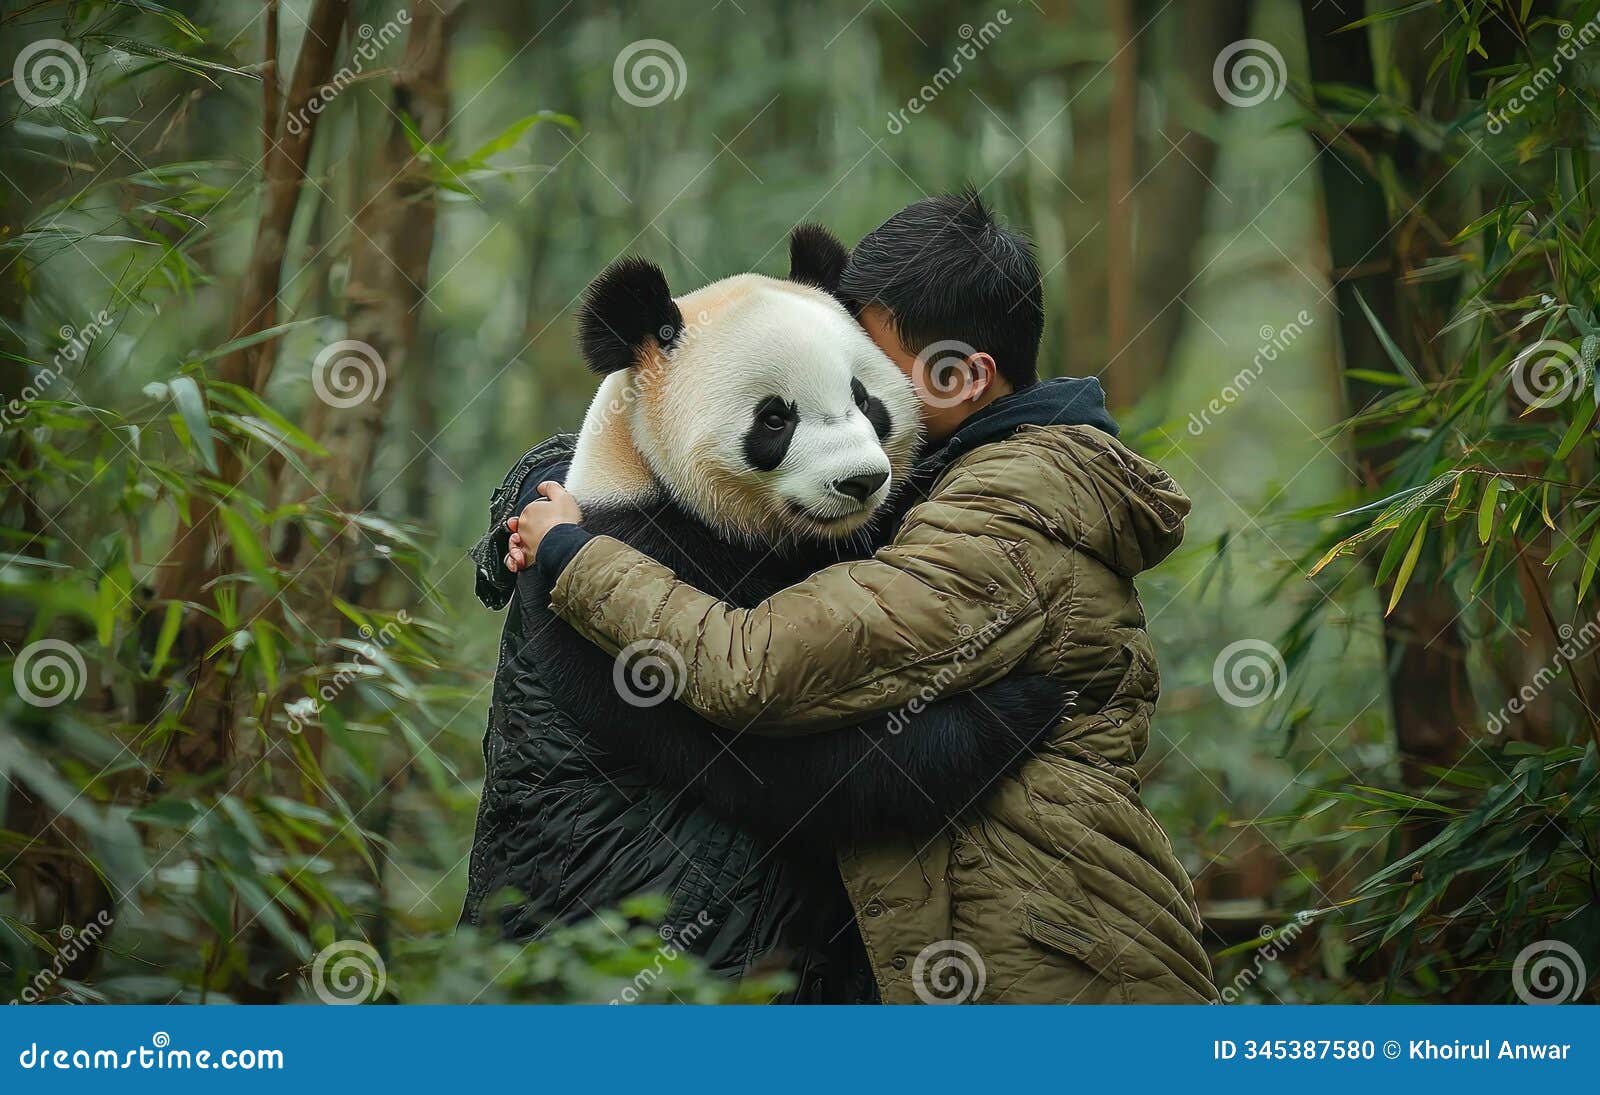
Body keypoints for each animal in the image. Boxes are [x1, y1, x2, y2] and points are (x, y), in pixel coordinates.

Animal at [463, 225, 1062, 1003]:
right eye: (775, 417)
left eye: (867, 399)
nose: (861, 481)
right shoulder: (628, 560)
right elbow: (775, 749)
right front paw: (1018, 706)